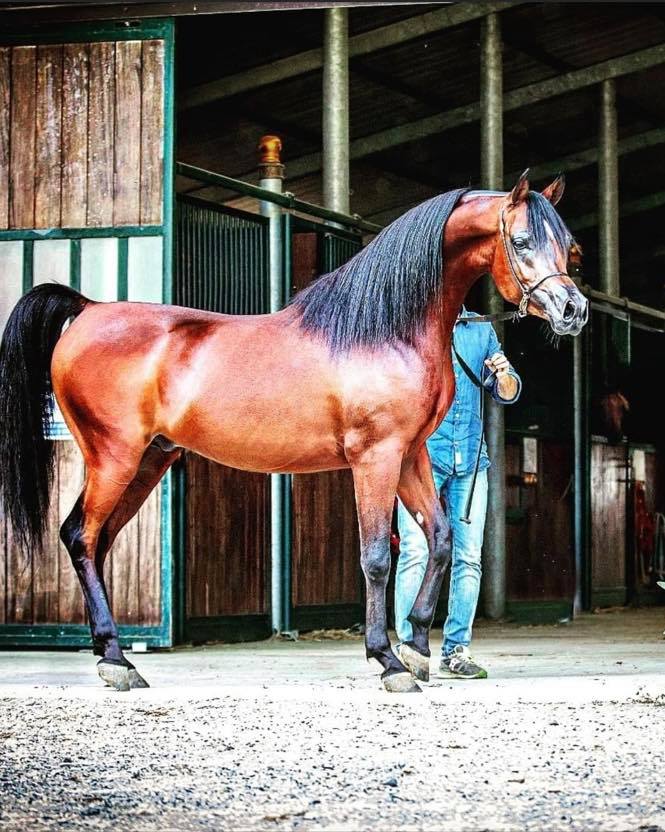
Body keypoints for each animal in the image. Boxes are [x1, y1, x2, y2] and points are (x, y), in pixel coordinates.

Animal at [0, 170, 587, 693]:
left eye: (569, 247)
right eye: (521, 241)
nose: (574, 310)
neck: (384, 328)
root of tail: (88, 310)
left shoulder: (410, 455)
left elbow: (441, 539)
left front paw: (418, 646)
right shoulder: (375, 458)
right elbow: (377, 557)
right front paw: (388, 662)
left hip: (148, 461)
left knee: (95, 542)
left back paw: (112, 655)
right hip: (114, 457)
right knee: (80, 536)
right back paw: (117, 661)